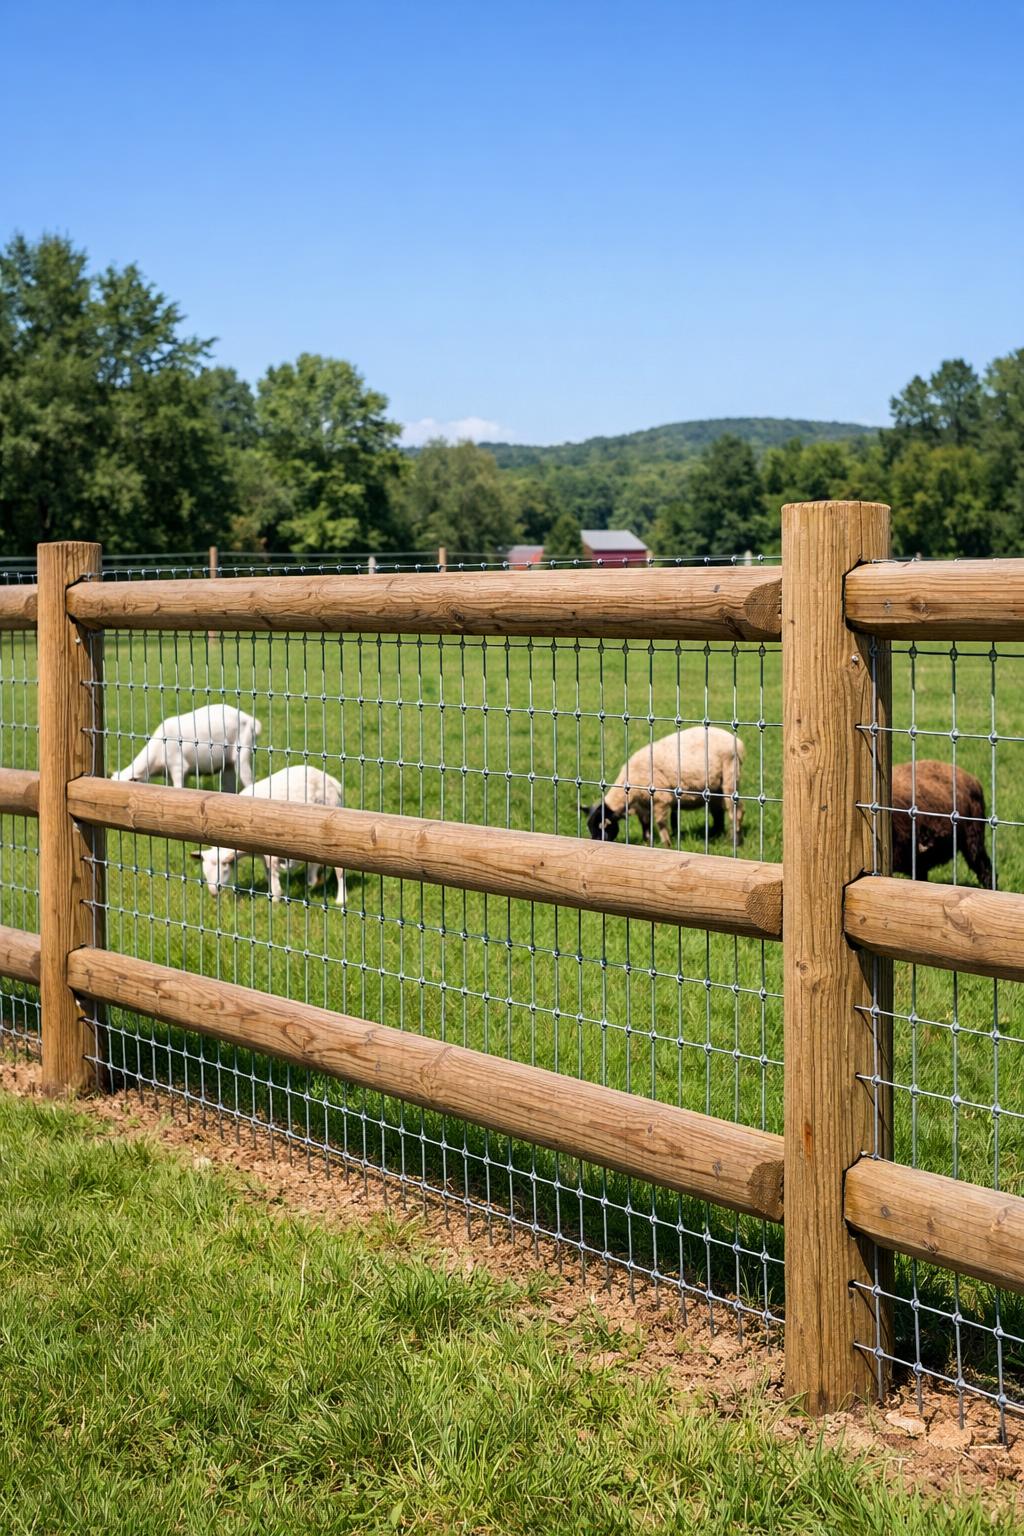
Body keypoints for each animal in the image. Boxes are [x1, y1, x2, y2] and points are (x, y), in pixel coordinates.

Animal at [191, 764, 347, 905]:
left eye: (224, 867)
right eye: (205, 871)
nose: (213, 893)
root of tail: (333, 781)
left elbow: (273, 875)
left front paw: (276, 900)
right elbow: (268, 873)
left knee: (339, 869)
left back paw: (341, 900)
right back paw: (312, 882)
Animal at [584, 726, 745, 847]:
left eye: (604, 827)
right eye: (590, 828)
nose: (594, 842)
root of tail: (738, 742)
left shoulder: (661, 799)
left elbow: (660, 823)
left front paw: (667, 843)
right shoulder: (643, 804)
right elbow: (646, 824)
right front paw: (647, 841)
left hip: (730, 775)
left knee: (736, 812)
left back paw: (734, 841)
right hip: (716, 786)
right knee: (718, 813)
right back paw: (715, 836)